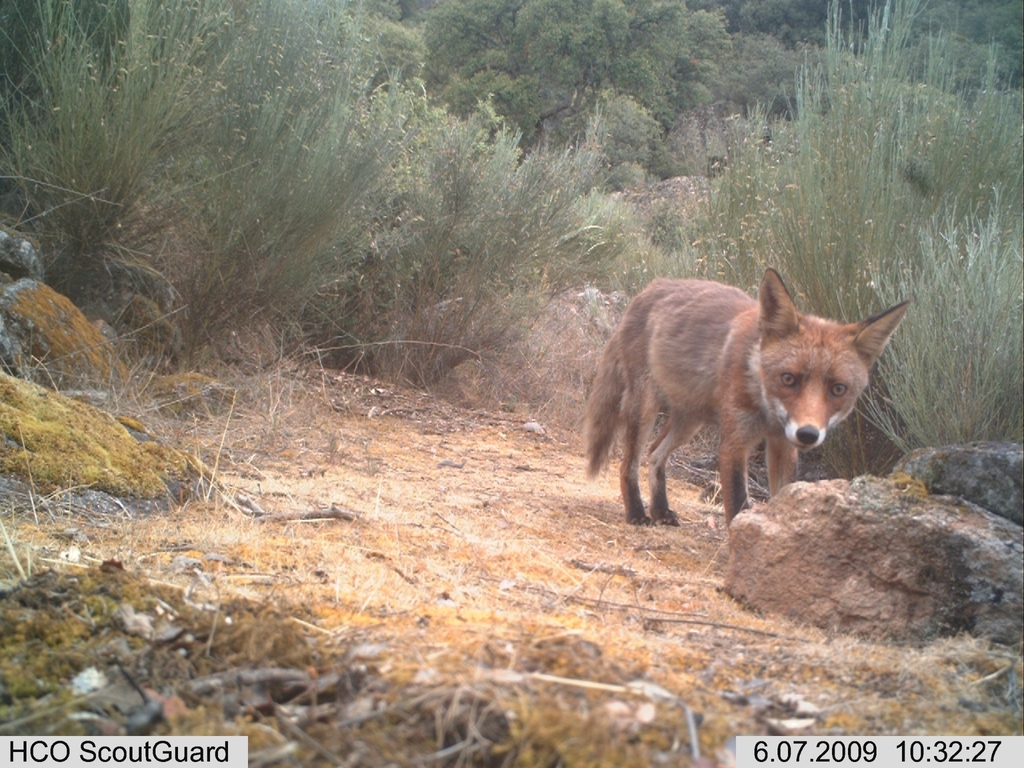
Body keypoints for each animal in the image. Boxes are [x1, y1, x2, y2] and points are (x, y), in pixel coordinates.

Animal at [583, 269, 908, 526]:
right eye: (788, 379)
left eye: (838, 389)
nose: (807, 434)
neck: (765, 406)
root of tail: (650, 288)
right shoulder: (735, 444)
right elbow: (738, 504)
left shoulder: (783, 447)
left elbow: (780, 498)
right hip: (645, 409)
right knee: (629, 464)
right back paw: (638, 513)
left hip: (689, 423)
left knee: (655, 454)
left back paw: (661, 510)